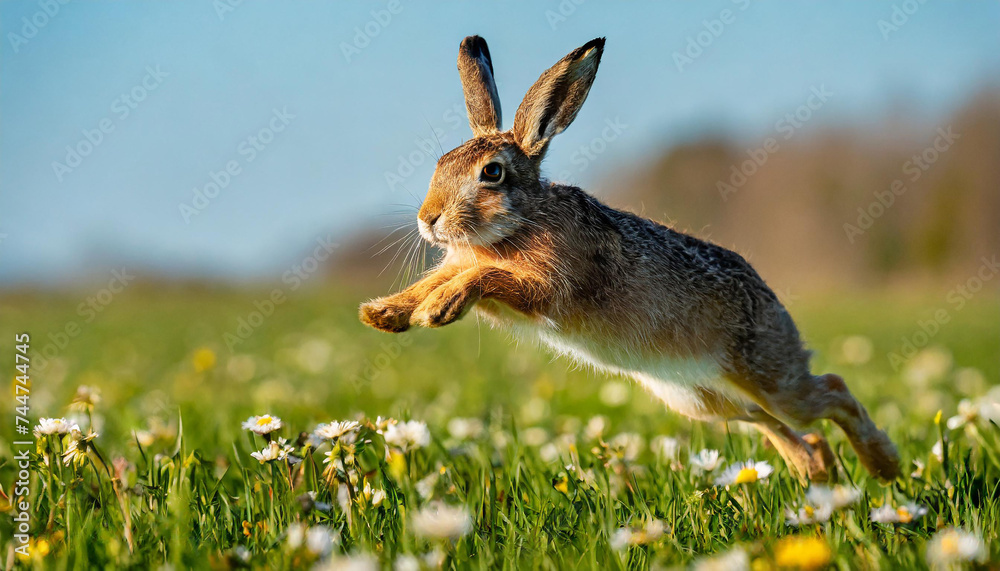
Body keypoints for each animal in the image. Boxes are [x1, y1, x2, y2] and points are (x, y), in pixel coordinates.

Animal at [359, 36, 900, 483]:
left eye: (491, 173)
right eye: (440, 163)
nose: (428, 219)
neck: (522, 220)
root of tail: (772, 300)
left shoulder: (546, 286)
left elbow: (488, 278)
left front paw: (438, 310)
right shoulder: (461, 266)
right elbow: (431, 282)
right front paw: (383, 314)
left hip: (769, 375)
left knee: (827, 392)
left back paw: (883, 466)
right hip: (702, 399)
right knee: (769, 421)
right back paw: (815, 467)